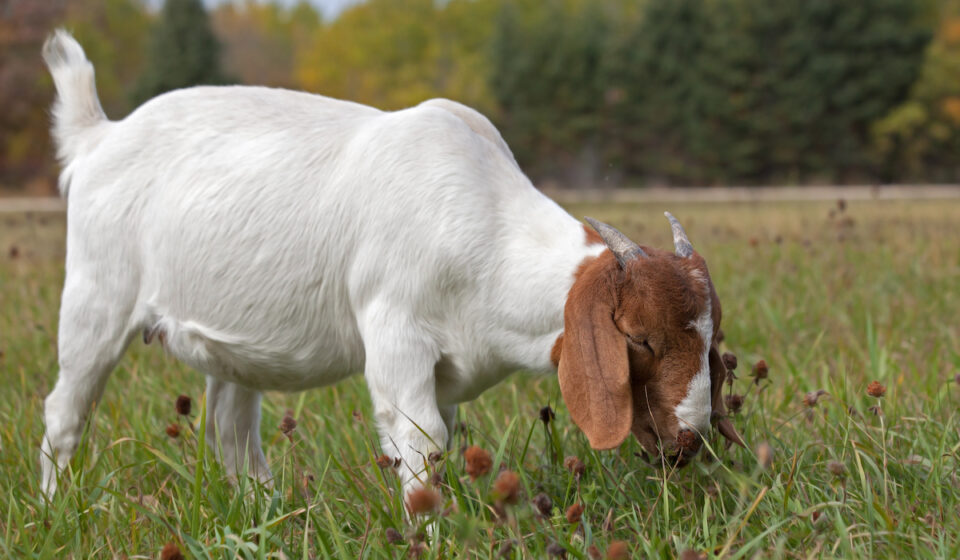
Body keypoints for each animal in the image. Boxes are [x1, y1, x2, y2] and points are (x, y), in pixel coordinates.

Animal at [39, 30, 744, 498]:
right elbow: (422, 445)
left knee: (231, 431)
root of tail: (99, 136)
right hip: (96, 298)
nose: (692, 437)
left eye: (712, 336)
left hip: (232, 346)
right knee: (65, 411)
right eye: (638, 338)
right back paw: (55, 508)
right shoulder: (396, 333)